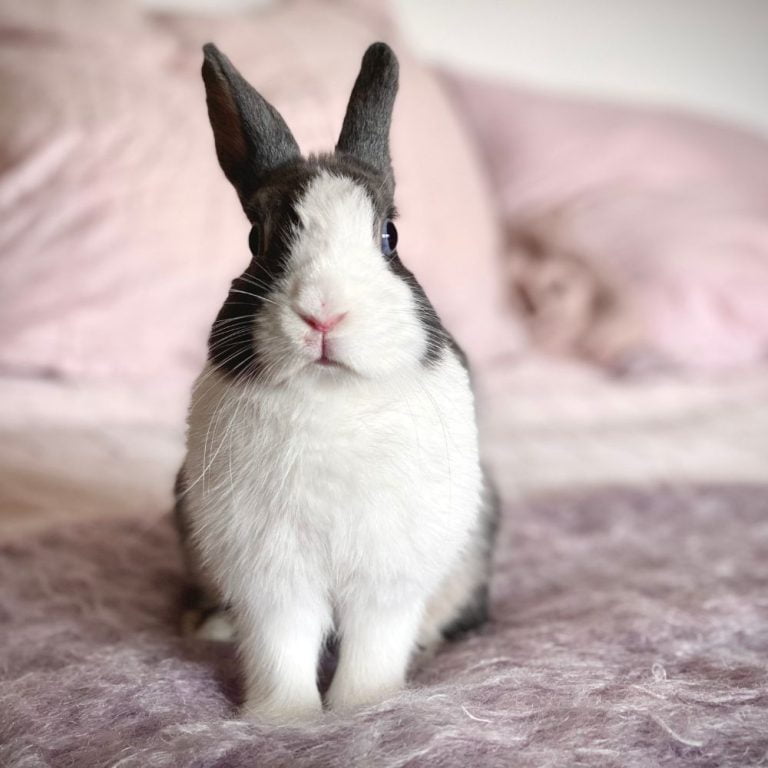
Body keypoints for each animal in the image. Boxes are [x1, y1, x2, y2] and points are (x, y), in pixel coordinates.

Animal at [173, 41, 498, 722]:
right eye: (257, 239)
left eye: (390, 236)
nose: (323, 314)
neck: (330, 400)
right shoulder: (271, 576)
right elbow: (281, 647)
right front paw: (284, 718)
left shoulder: (388, 576)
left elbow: (375, 643)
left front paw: (363, 708)